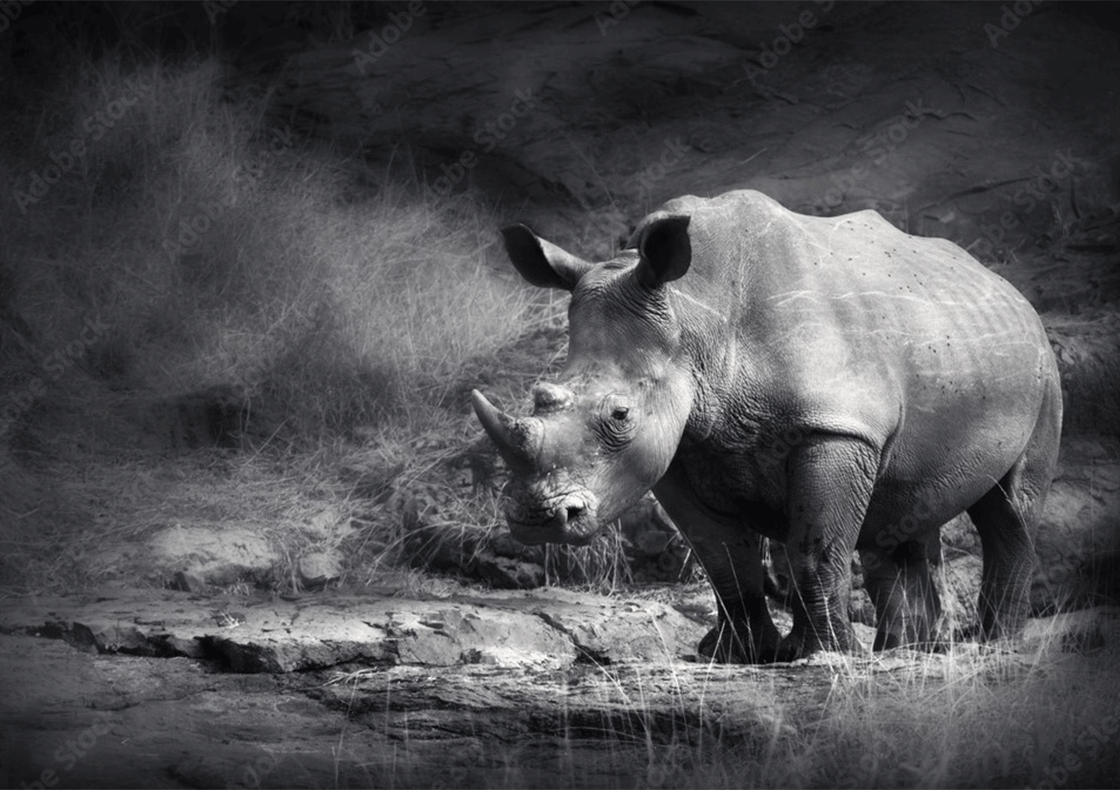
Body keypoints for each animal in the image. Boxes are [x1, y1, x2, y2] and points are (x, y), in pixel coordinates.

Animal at [472, 190, 1062, 662]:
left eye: (620, 415)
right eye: (539, 397)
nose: (537, 519)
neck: (695, 318)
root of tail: (1007, 288)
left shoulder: (835, 427)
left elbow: (814, 548)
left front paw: (827, 657)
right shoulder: (681, 450)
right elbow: (725, 561)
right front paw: (738, 656)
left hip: (1041, 367)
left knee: (1008, 509)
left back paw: (992, 646)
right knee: (901, 512)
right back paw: (909, 651)